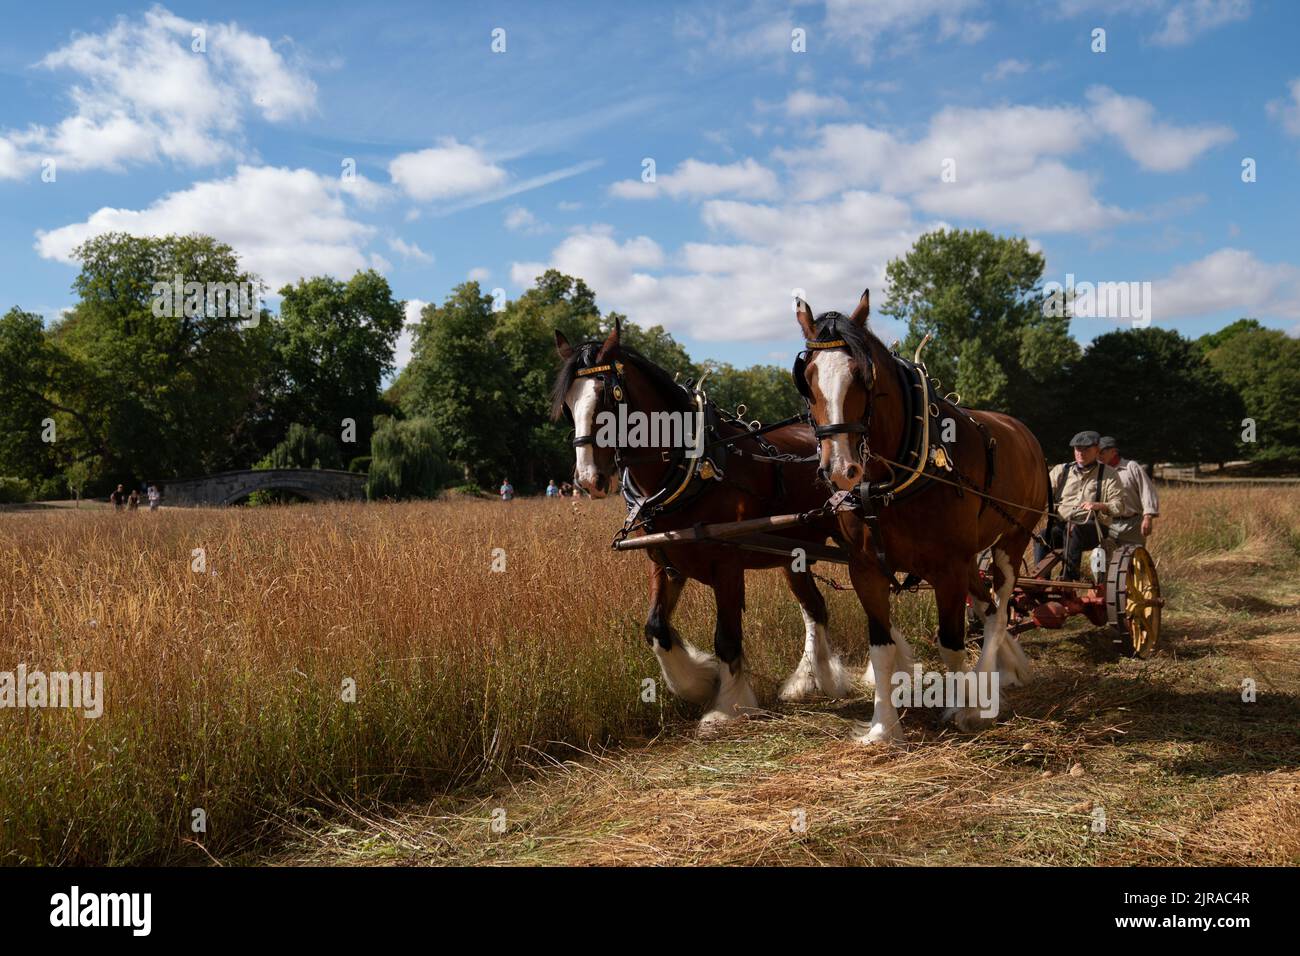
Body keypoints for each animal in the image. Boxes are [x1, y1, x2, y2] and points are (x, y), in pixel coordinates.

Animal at [553, 322, 856, 730]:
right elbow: (656, 628)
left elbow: (726, 636)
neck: (690, 468)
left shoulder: (727, 564)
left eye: (607, 398)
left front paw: (726, 708)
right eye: (569, 405)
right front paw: (699, 682)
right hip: (795, 553)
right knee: (815, 608)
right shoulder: (665, 562)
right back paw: (812, 680)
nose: (588, 480)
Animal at [792, 291, 1048, 744]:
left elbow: (951, 644)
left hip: (1011, 542)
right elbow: (880, 647)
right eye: (807, 377)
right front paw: (883, 727)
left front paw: (962, 708)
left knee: (999, 610)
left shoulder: (947, 568)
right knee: (987, 608)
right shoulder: (865, 568)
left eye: (862, 375)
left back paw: (984, 686)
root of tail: (1025, 433)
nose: (840, 468)